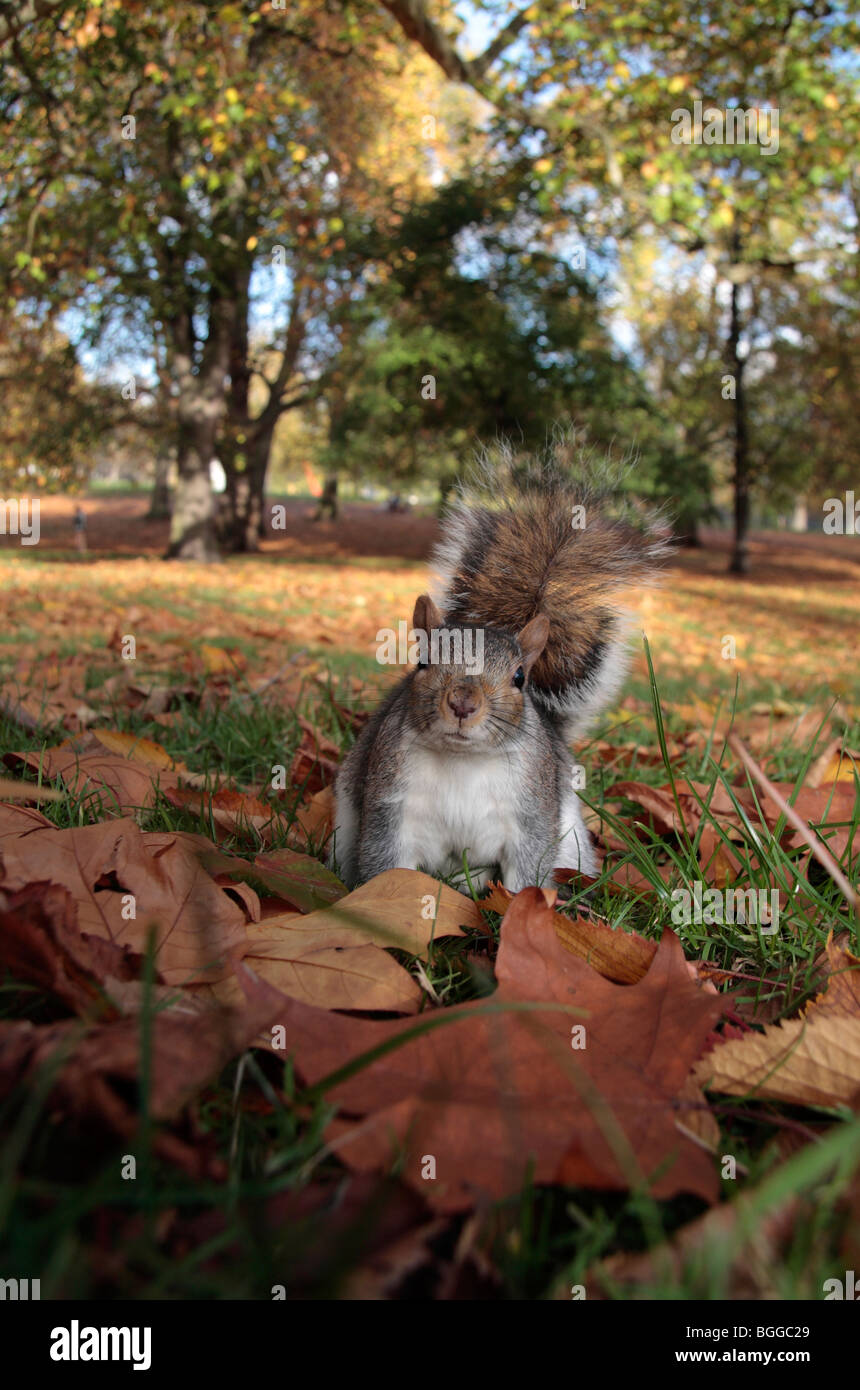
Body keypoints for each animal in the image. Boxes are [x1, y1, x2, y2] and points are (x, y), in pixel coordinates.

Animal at [330, 439, 665, 893]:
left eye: (520, 677)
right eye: (422, 661)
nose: (462, 703)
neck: (462, 762)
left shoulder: (531, 820)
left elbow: (527, 877)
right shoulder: (389, 809)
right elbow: (385, 868)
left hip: (570, 841)